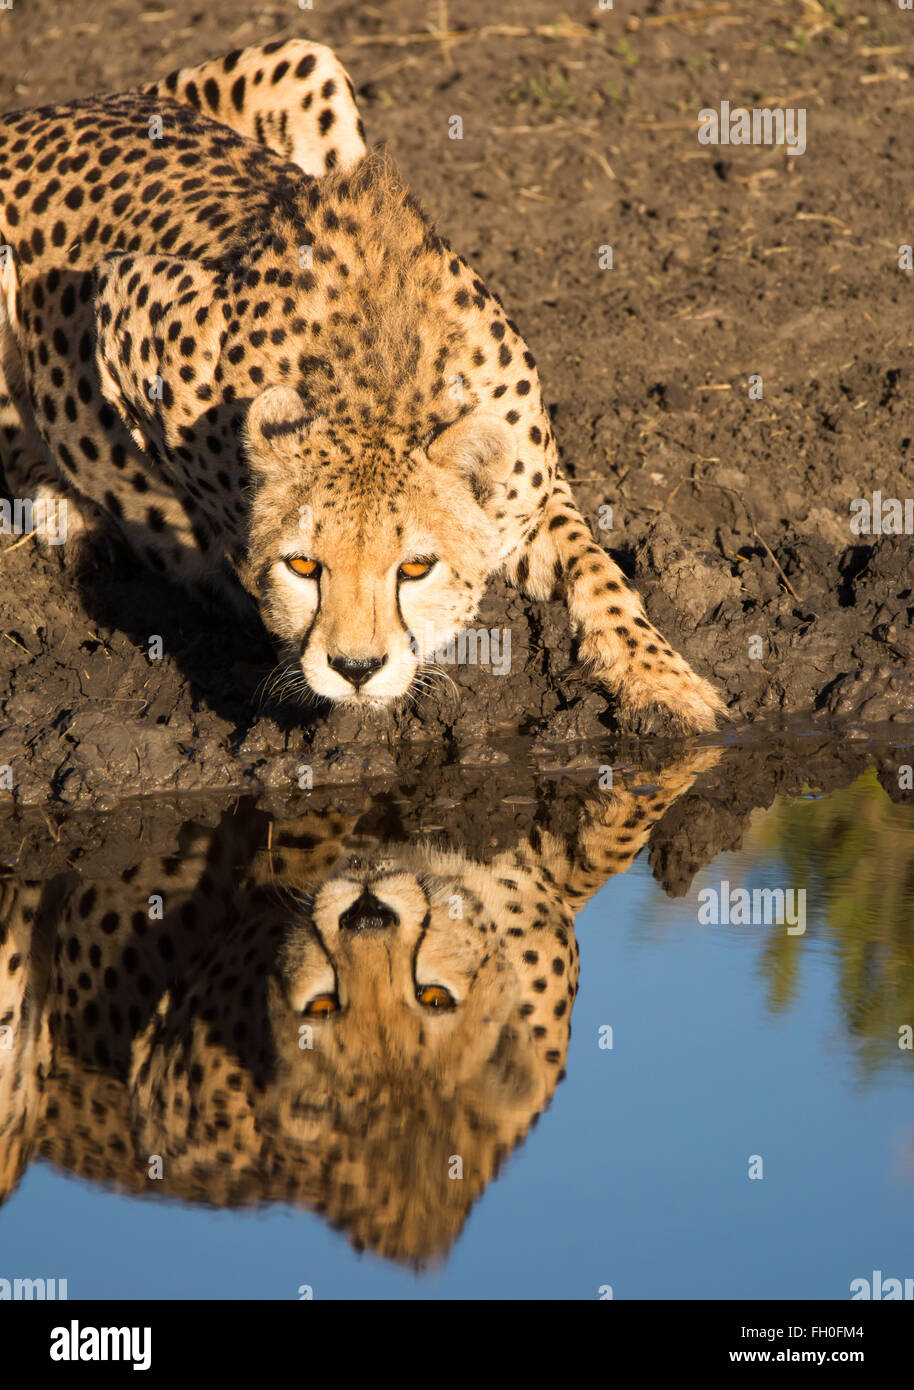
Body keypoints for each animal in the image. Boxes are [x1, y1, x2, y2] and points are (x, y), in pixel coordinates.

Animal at [0, 38, 727, 734]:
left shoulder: (524, 482)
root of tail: (48, 107)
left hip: (305, 62)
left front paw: (661, 679)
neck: (378, 386)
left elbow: (592, 564)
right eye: (302, 566)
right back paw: (63, 505)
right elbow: (213, 510)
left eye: (414, 567)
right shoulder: (126, 299)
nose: (354, 668)